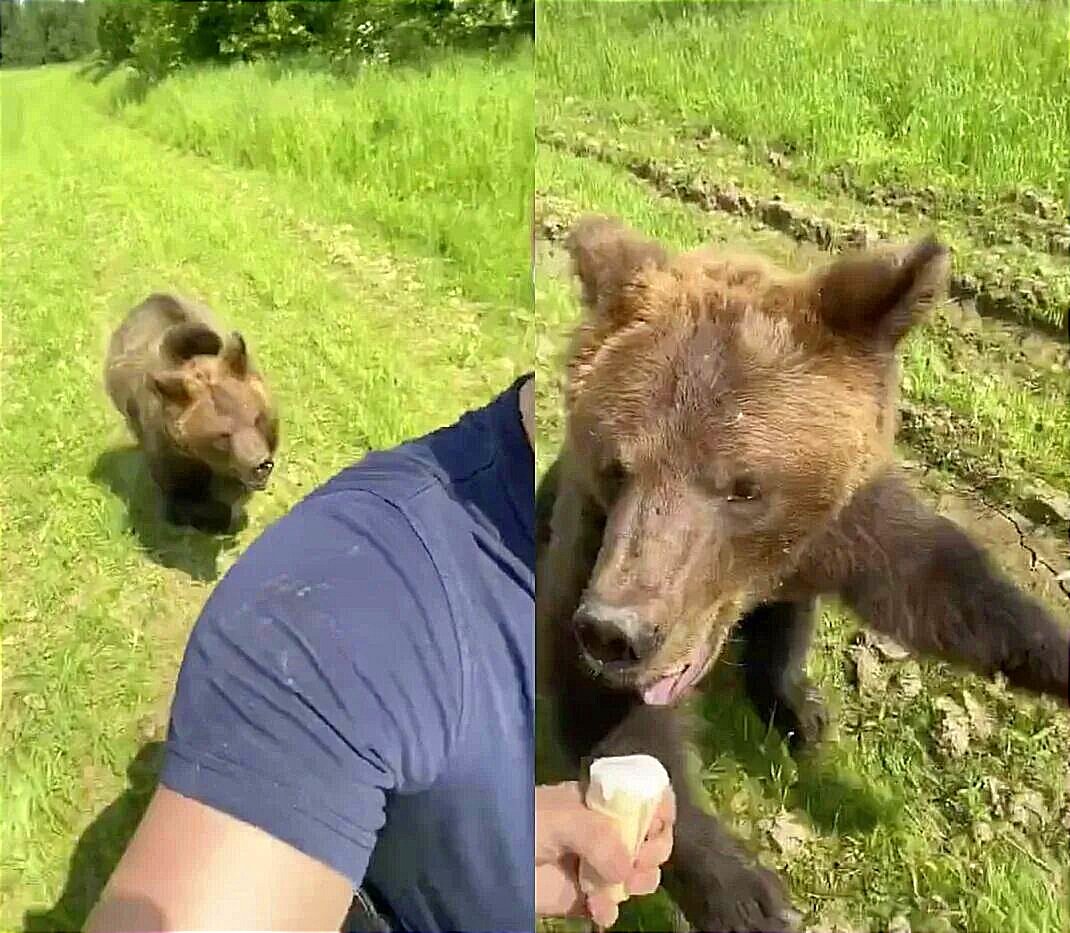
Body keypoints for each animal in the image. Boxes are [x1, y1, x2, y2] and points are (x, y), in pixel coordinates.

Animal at [103, 295, 278, 534]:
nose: (260, 465)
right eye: (222, 435)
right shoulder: (170, 451)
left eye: (256, 418)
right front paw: (224, 516)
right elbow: (184, 500)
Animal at [539, 217, 1065, 933]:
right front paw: (747, 894)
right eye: (617, 467)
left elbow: (943, 588)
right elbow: (608, 716)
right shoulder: (590, 547)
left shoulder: (849, 523)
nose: (617, 631)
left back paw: (798, 707)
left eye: (744, 487)